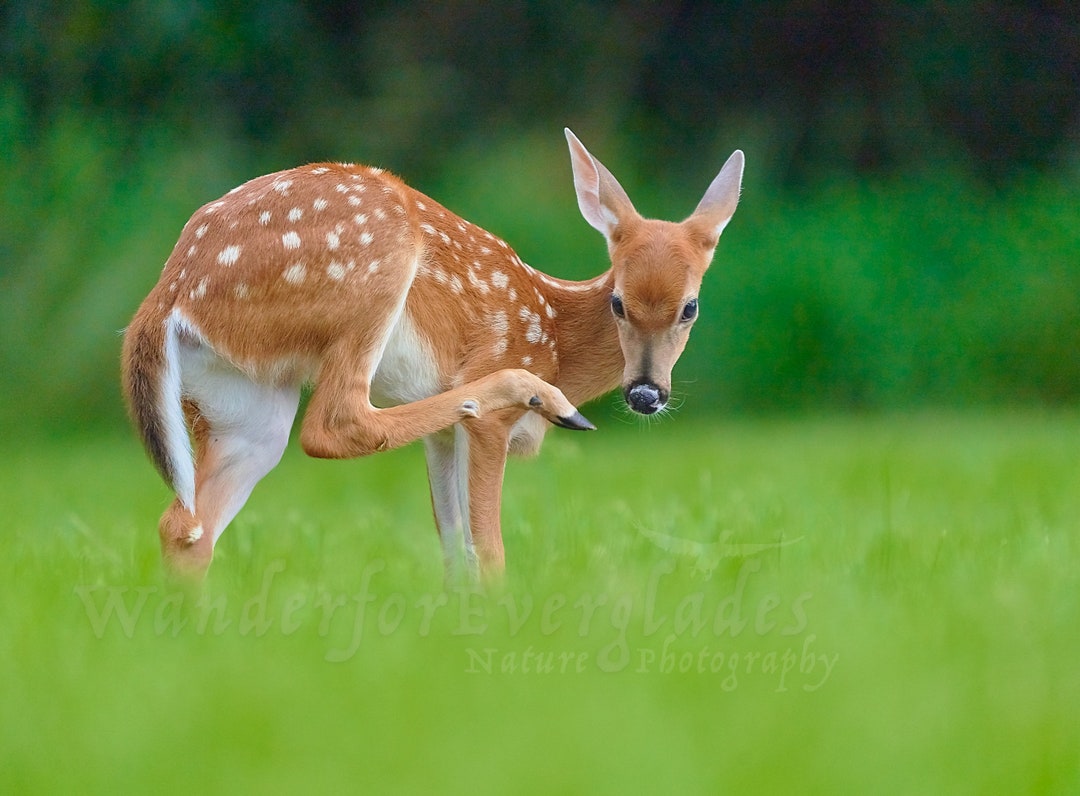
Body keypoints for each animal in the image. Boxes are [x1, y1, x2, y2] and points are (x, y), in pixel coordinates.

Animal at [121, 129, 744, 584]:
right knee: (337, 423)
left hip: (243, 403)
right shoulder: (489, 410)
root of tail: (170, 291)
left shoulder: (443, 439)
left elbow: (455, 551)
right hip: (377, 268)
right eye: (618, 301)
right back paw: (542, 397)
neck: (553, 332)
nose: (646, 393)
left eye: (690, 308)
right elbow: (488, 552)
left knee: (185, 526)